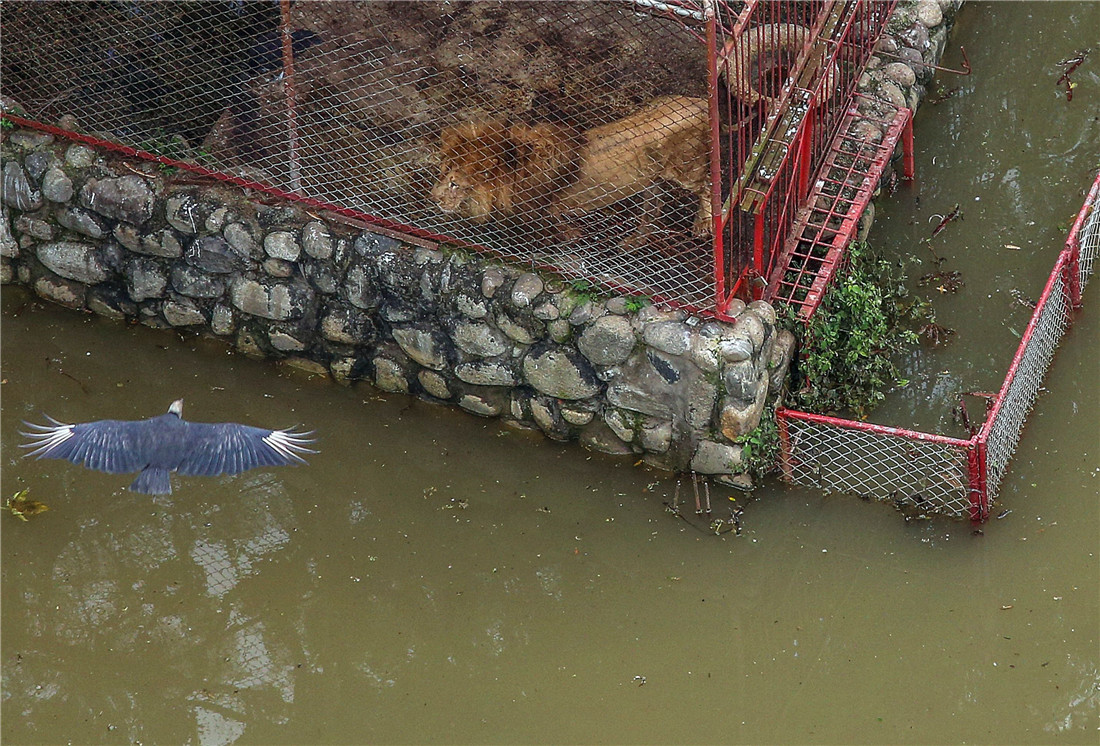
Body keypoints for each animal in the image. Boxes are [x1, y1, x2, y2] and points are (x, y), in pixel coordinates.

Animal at [430, 95, 713, 241]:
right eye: (442, 172)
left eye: (454, 183)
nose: (434, 198)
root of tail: (699, 101)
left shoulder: (542, 213)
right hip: (652, 175)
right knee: (653, 206)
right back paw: (633, 241)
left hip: (688, 169)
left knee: (709, 186)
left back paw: (703, 224)